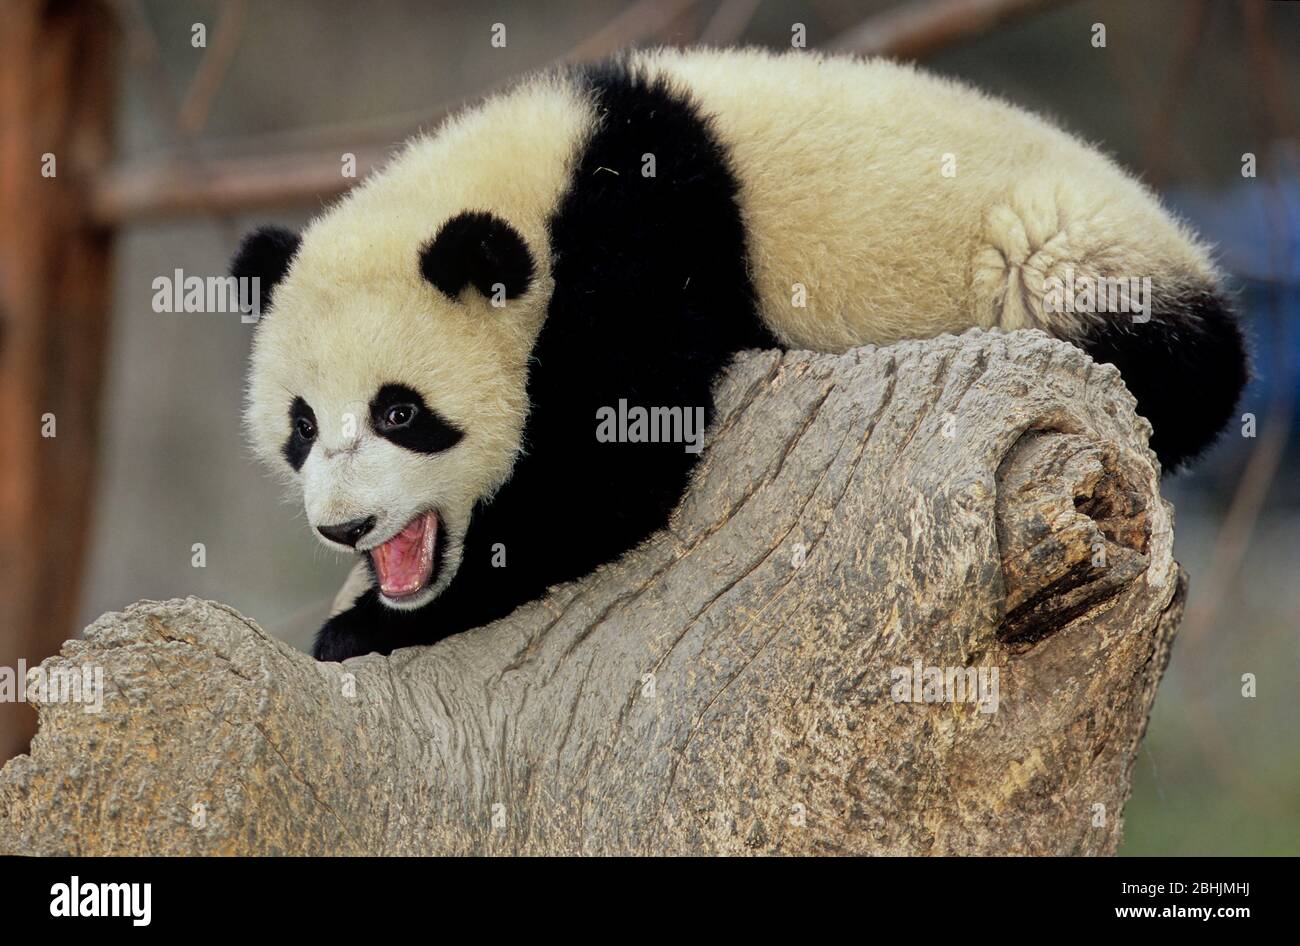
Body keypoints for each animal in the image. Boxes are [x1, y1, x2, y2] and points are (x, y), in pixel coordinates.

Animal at [233, 48, 1248, 662]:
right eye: (301, 426)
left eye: (401, 411)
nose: (345, 528)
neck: (537, 178)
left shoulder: (643, 230)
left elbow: (613, 463)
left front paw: (362, 627)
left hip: (1062, 257)